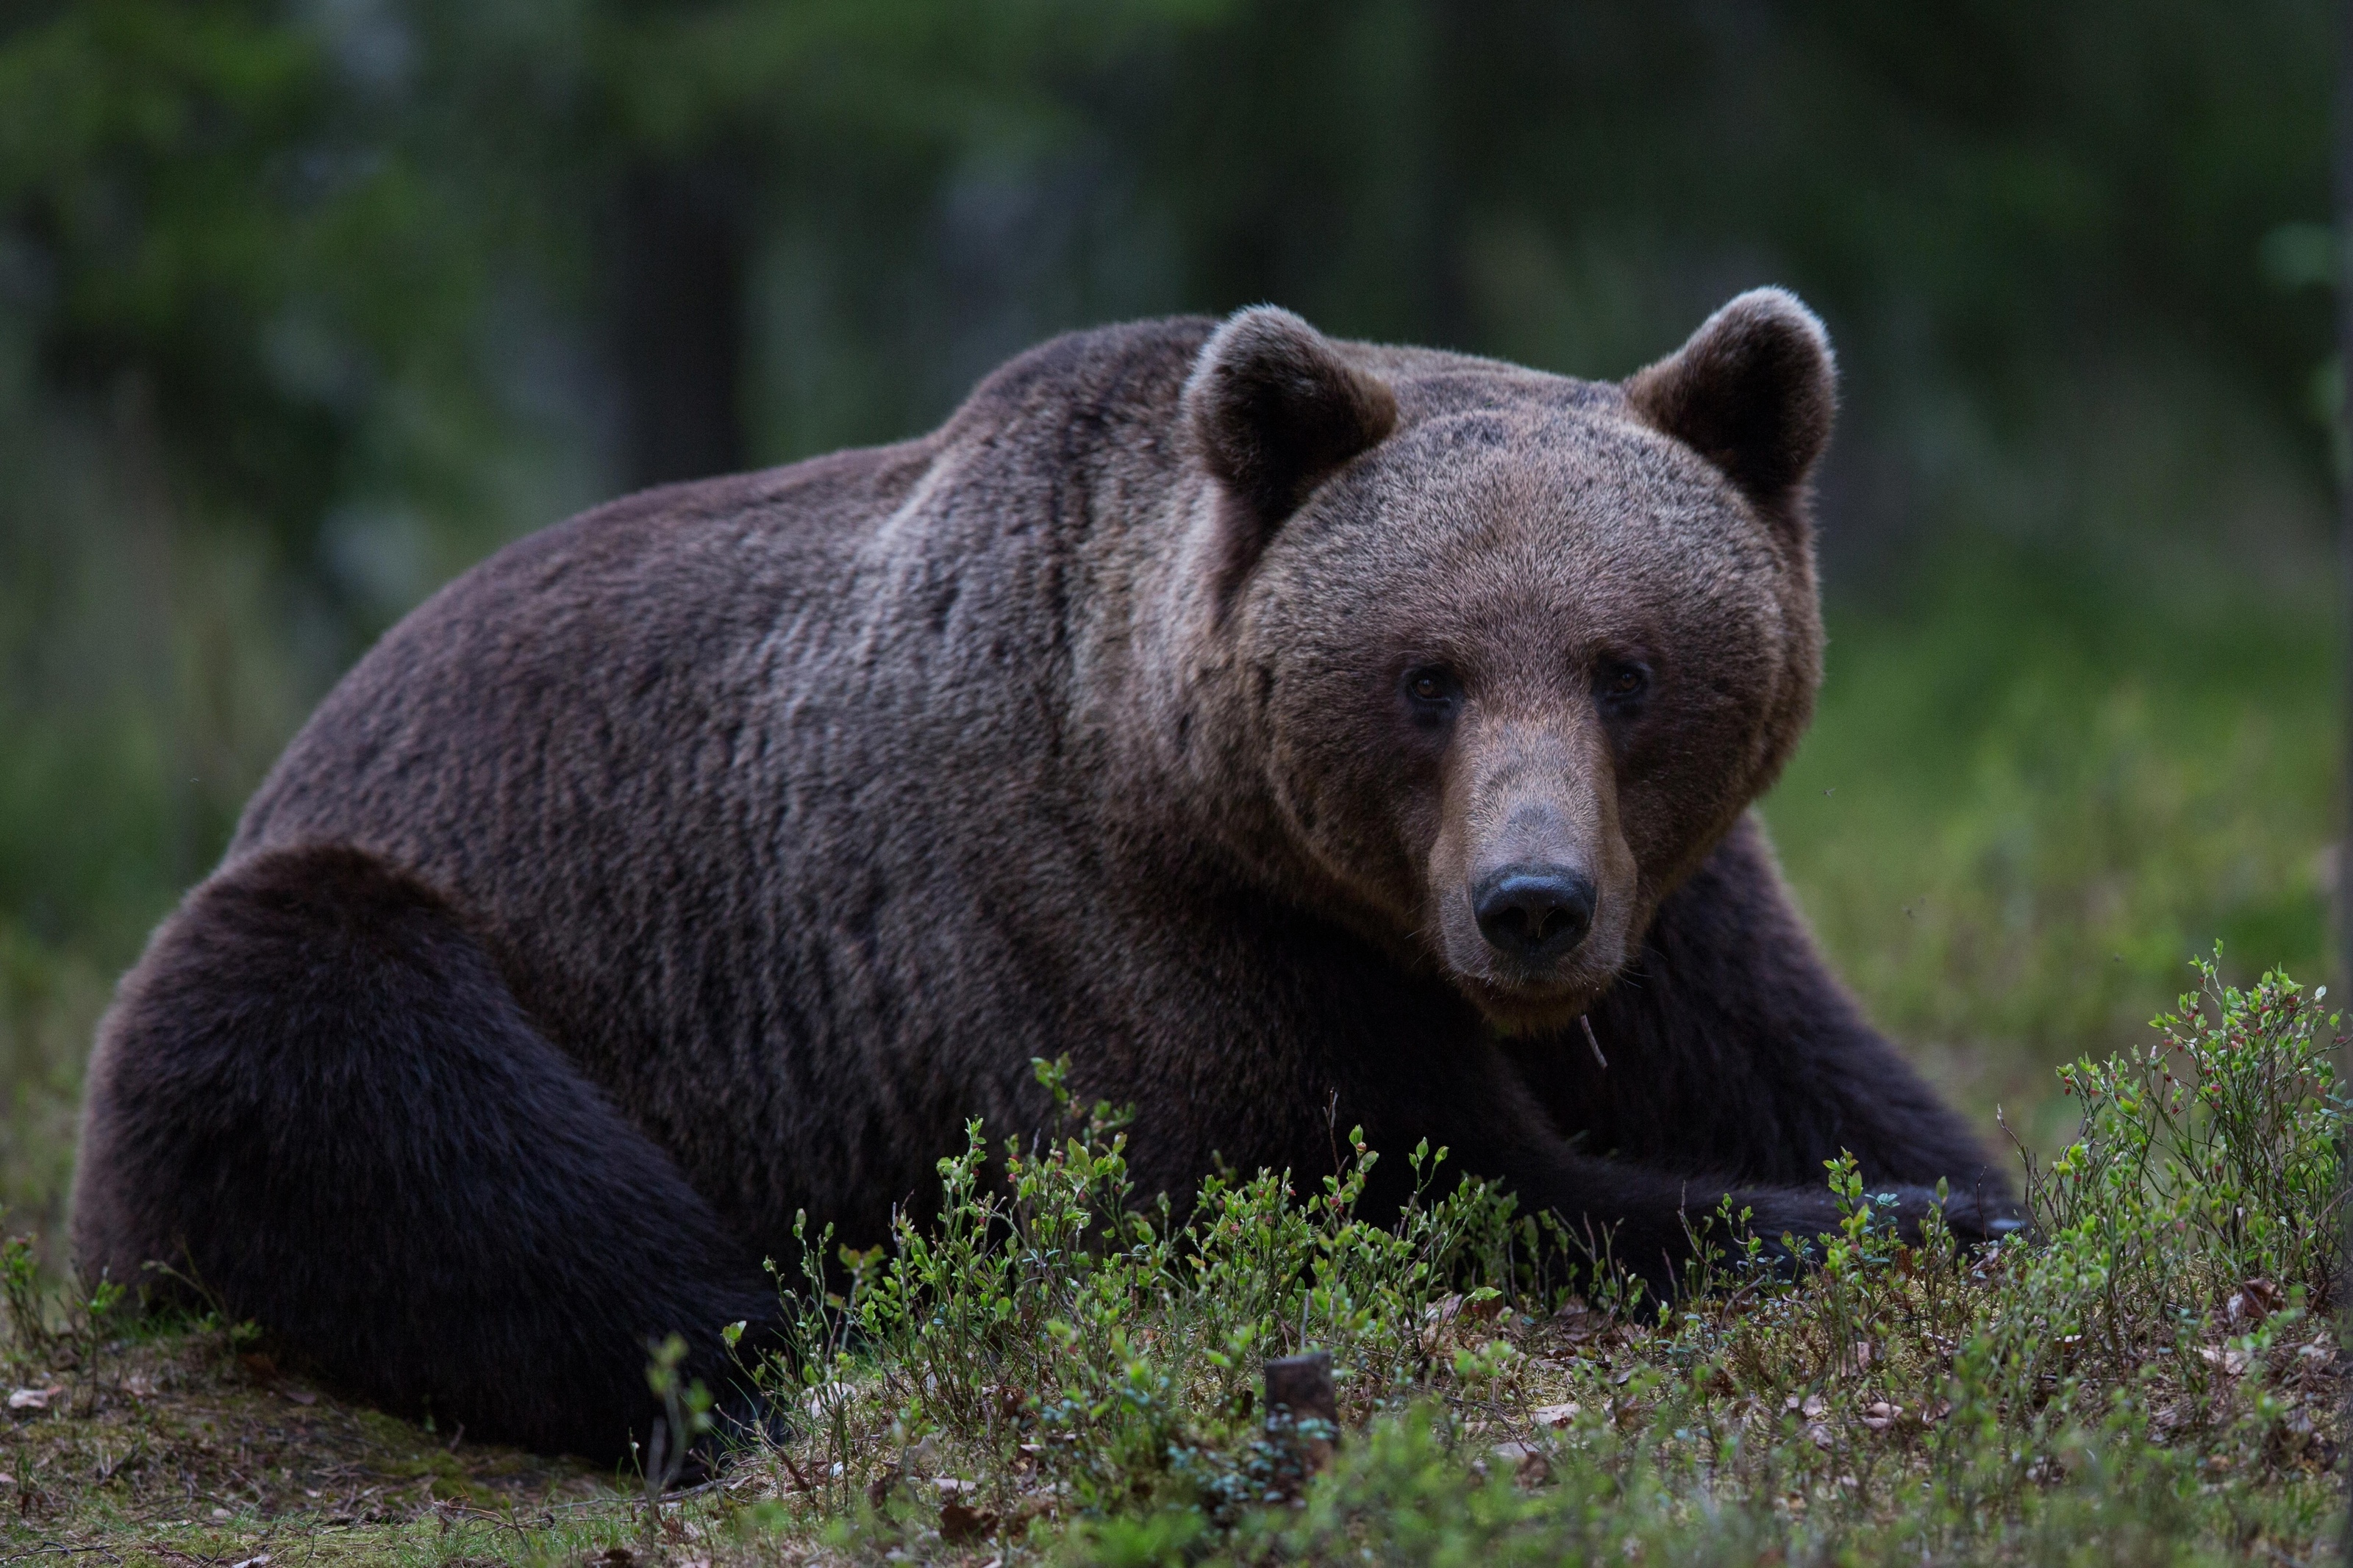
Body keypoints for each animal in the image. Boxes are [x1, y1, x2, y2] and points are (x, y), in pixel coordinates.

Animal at [71, 289, 2015, 1464]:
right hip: (391, 927)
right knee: (367, 1069)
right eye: (1427, 672)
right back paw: (788, 1337)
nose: (1527, 903)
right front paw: (1888, 1223)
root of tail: (305, 737)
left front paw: (1956, 1187)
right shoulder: (1118, 930)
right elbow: (1405, 1179)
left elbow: (1811, 1079)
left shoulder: (1682, 920)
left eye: (1626, 667)